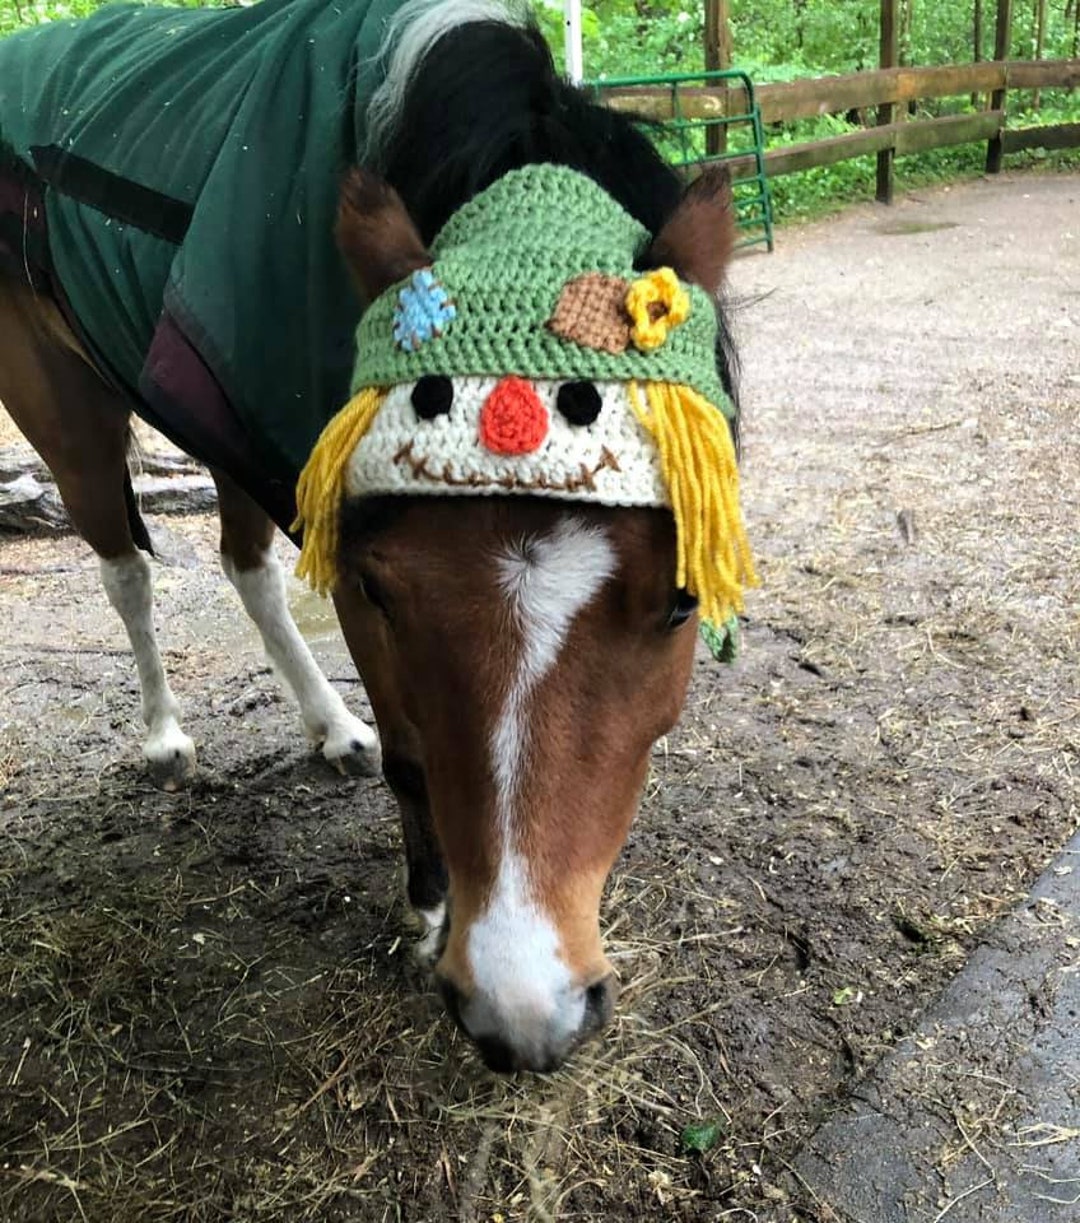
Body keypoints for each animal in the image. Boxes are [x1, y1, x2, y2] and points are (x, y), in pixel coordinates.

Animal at [0, 0, 746, 1073]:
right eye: (387, 591)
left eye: (685, 601)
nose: (526, 1012)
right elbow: (411, 756)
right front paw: (429, 909)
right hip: (68, 414)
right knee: (125, 573)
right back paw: (165, 736)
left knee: (246, 570)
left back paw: (329, 725)